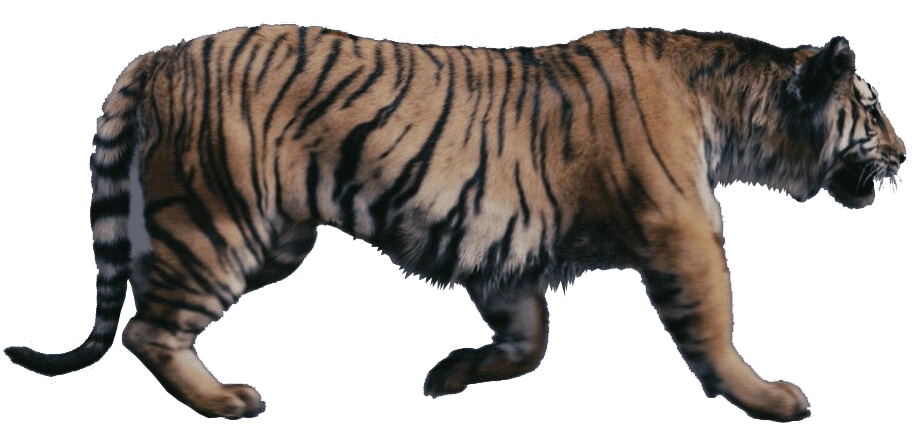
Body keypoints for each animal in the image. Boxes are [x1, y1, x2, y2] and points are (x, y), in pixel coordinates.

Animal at [3, 25, 906, 422]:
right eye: (870, 109)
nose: (901, 155)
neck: (737, 112)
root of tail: (169, 48)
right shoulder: (680, 229)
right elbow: (711, 324)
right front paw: (768, 398)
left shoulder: (510, 250)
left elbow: (528, 336)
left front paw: (457, 373)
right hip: (219, 218)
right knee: (149, 323)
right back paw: (223, 400)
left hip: (271, 236)